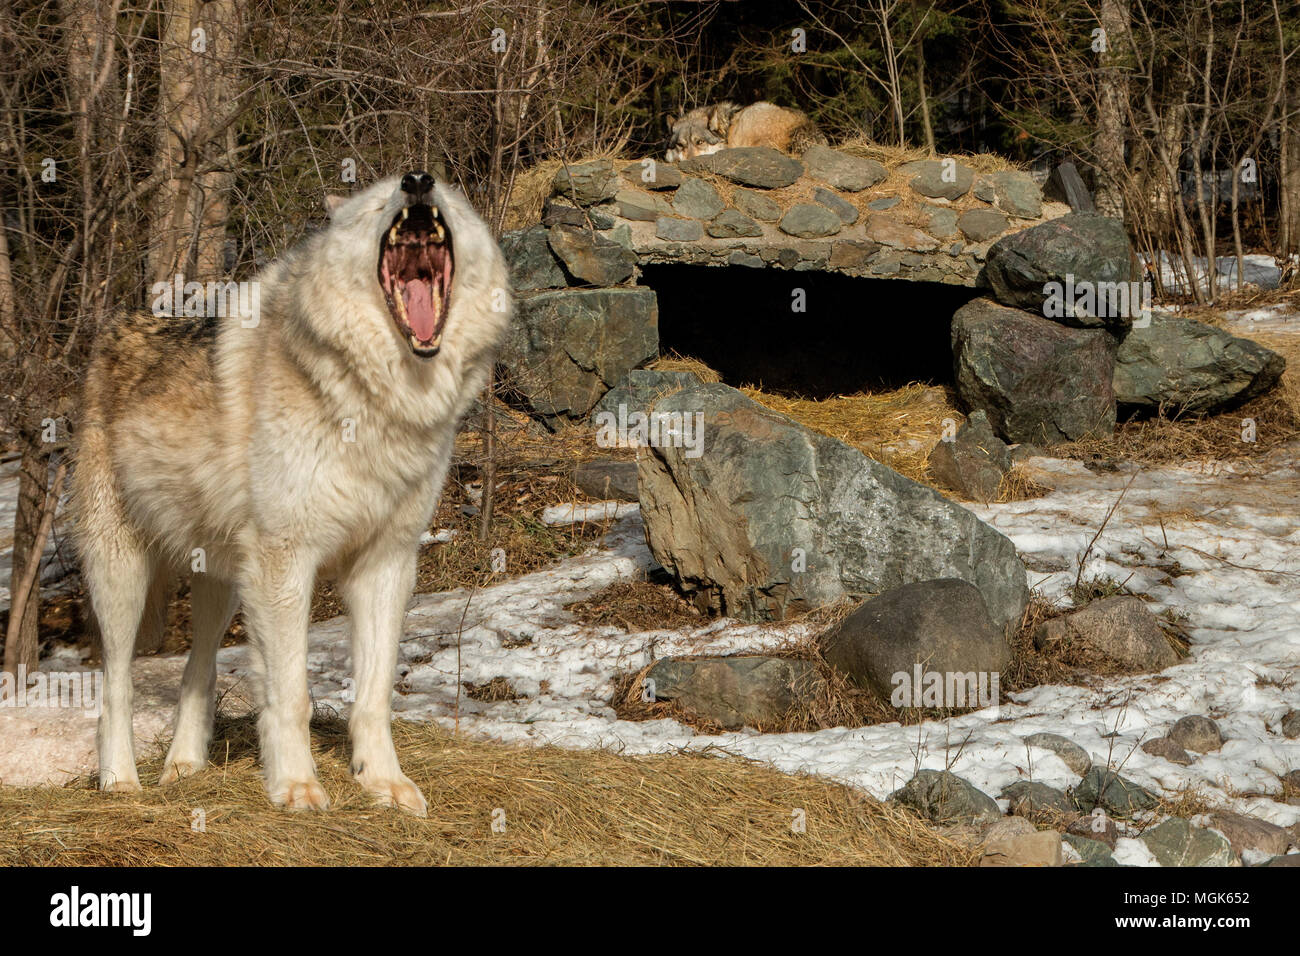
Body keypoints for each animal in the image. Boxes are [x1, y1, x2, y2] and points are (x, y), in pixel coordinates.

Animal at [71, 171, 511, 815]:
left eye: (449, 197)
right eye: (379, 202)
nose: (417, 181)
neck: (380, 400)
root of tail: (112, 330)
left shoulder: (386, 563)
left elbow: (374, 695)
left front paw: (384, 783)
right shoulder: (286, 563)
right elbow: (291, 695)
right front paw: (297, 786)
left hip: (223, 583)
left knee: (197, 670)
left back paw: (184, 767)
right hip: (122, 574)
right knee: (115, 684)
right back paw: (121, 782)